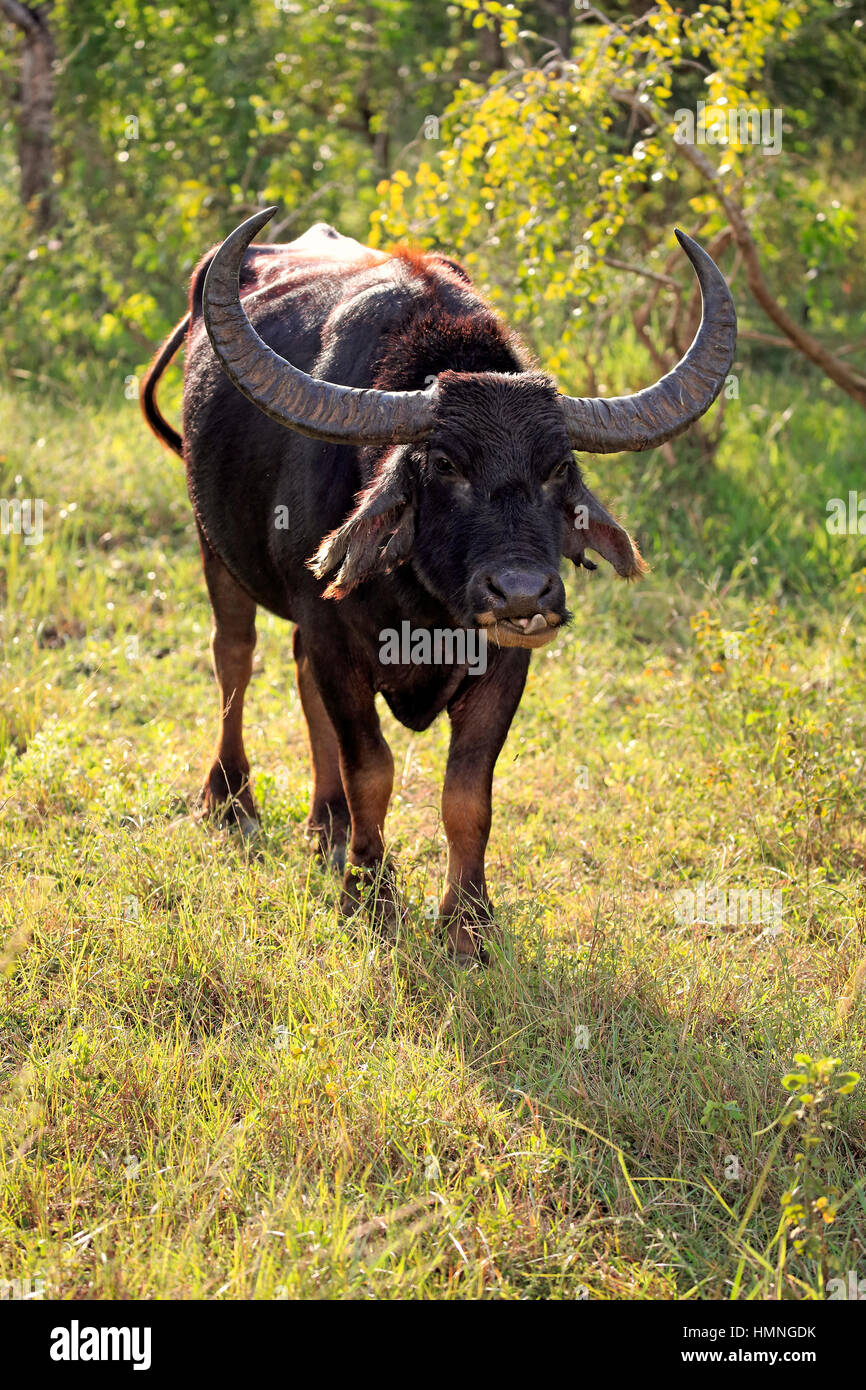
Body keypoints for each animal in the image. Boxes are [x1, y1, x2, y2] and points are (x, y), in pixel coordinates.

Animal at [142, 209, 735, 961]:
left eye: (557, 469)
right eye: (446, 465)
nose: (522, 594)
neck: (425, 605)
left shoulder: (503, 665)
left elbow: (467, 795)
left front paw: (468, 921)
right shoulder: (338, 639)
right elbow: (373, 769)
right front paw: (370, 894)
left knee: (298, 678)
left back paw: (327, 822)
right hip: (212, 542)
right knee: (235, 660)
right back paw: (231, 799)